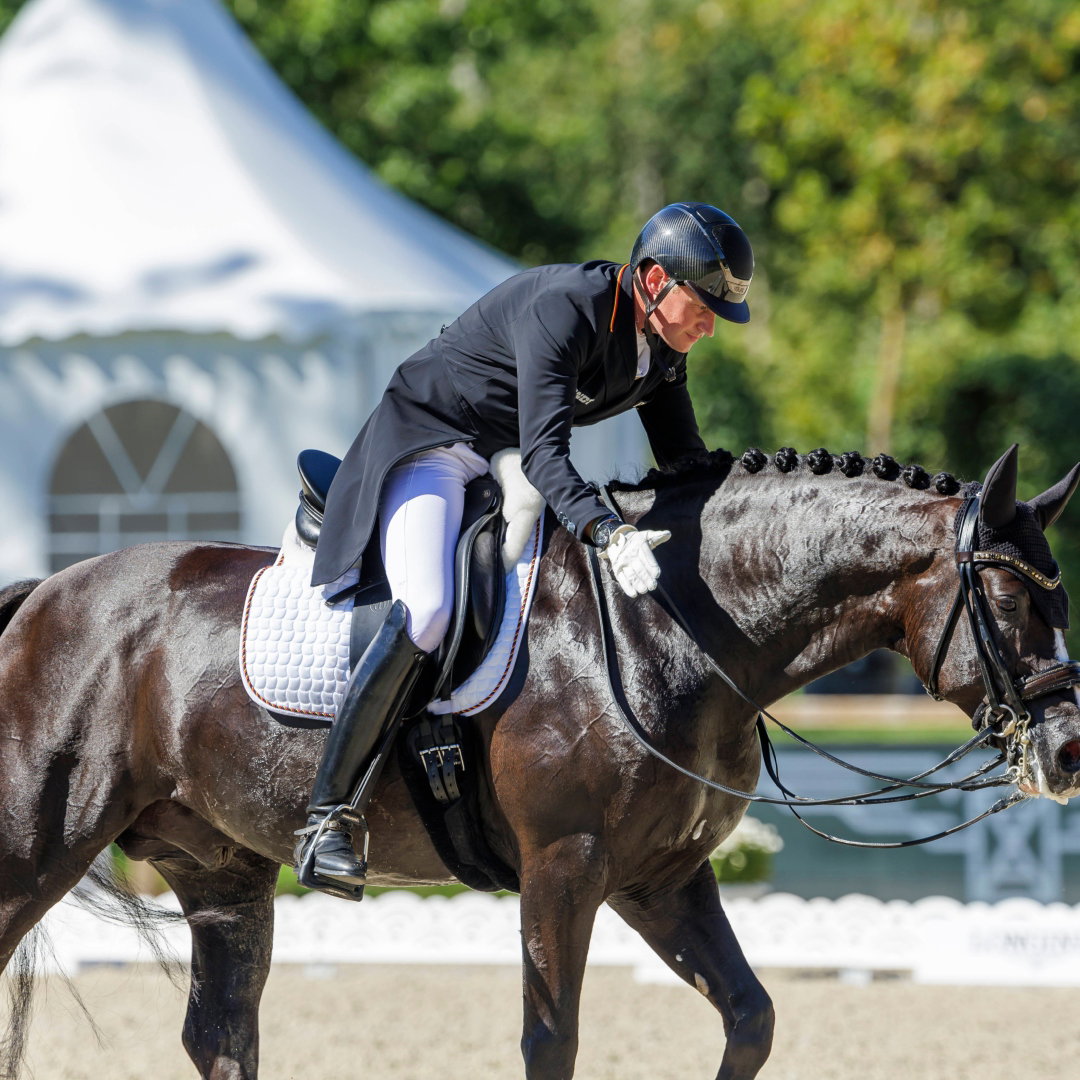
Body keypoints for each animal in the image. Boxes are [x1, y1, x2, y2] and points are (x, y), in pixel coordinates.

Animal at [2, 443, 1080, 1080]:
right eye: (1007, 596)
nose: (1067, 751)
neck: (663, 631)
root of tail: (47, 590)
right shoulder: (564, 869)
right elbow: (551, 1039)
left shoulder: (662, 877)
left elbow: (751, 1016)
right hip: (37, 847)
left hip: (221, 870)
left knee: (221, 1033)